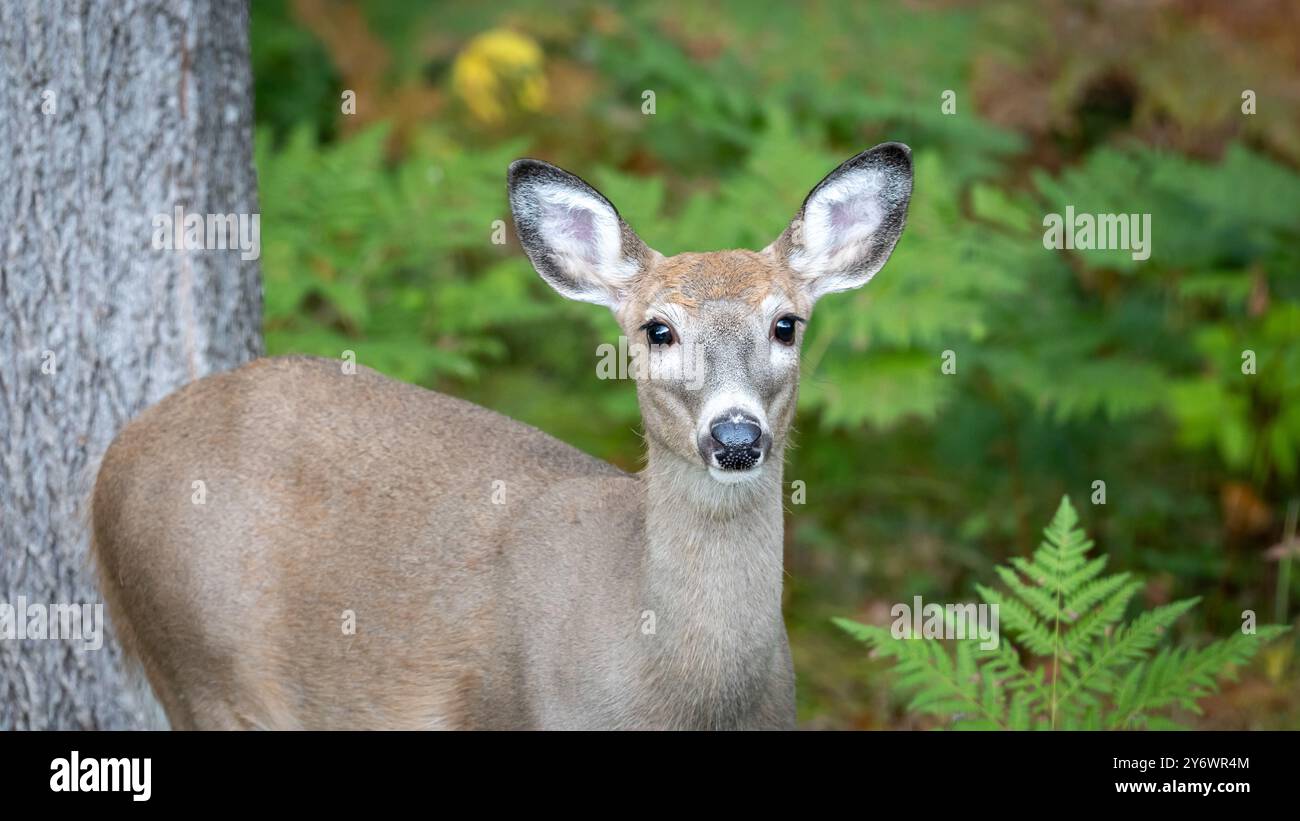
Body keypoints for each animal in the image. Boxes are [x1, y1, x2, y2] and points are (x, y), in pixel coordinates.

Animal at [90, 143, 913, 729]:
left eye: (787, 324)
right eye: (658, 329)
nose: (735, 435)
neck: (680, 700)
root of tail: (109, 468)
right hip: (199, 661)